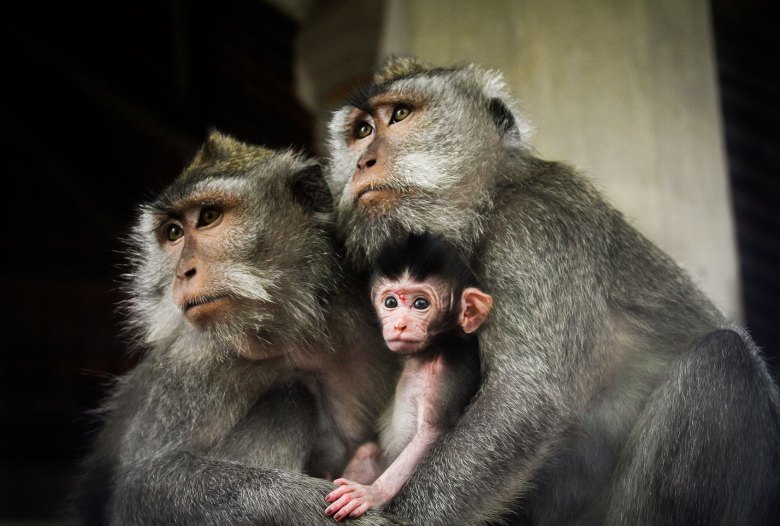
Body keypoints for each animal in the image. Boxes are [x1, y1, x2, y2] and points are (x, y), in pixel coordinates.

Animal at [71, 131, 407, 525]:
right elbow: (142, 486)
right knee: (289, 400)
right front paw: (311, 504)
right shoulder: (193, 363)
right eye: (173, 232)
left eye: (208, 217)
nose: (182, 273)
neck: (298, 329)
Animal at [324, 232, 492, 521]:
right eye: (390, 302)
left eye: (421, 304)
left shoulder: (448, 369)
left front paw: (371, 493)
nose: (399, 325)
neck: (433, 348)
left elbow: (430, 434)